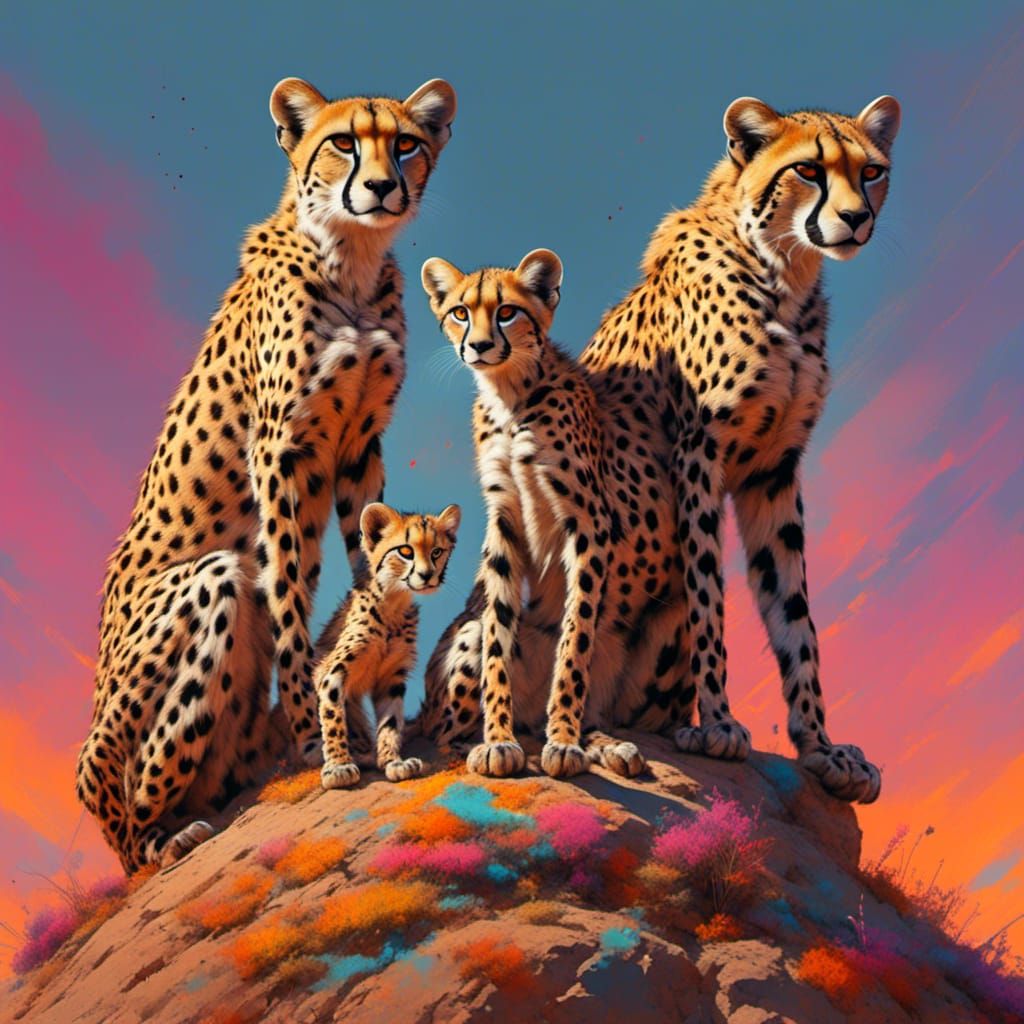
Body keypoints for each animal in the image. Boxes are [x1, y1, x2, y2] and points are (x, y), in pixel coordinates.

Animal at [314, 501, 460, 790]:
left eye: (437, 551)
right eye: (405, 551)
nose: (427, 575)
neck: (393, 604)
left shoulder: (392, 676)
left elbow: (390, 722)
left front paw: (393, 761)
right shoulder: (332, 671)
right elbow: (333, 715)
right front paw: (338, 765)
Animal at [416, 249, 690, 779]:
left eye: (507, 312)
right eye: (460, 312)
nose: (478, 346)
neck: (509, 395)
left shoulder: (588, 525)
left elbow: (575, 637)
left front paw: (563, 739)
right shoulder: (503, 520)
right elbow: (499, 641)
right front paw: (497, 740)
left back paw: (606, 743)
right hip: (465, 639)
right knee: (442, 732)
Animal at [577, 95, 902, 803]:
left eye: (871, 172)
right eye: (808, 169)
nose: (856, 219)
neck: (786, 274)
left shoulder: (774, 473)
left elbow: (795, 615)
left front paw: (821, 748)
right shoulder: (698, 456)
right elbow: (709, 598)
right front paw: (719, 724)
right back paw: (594, 744)